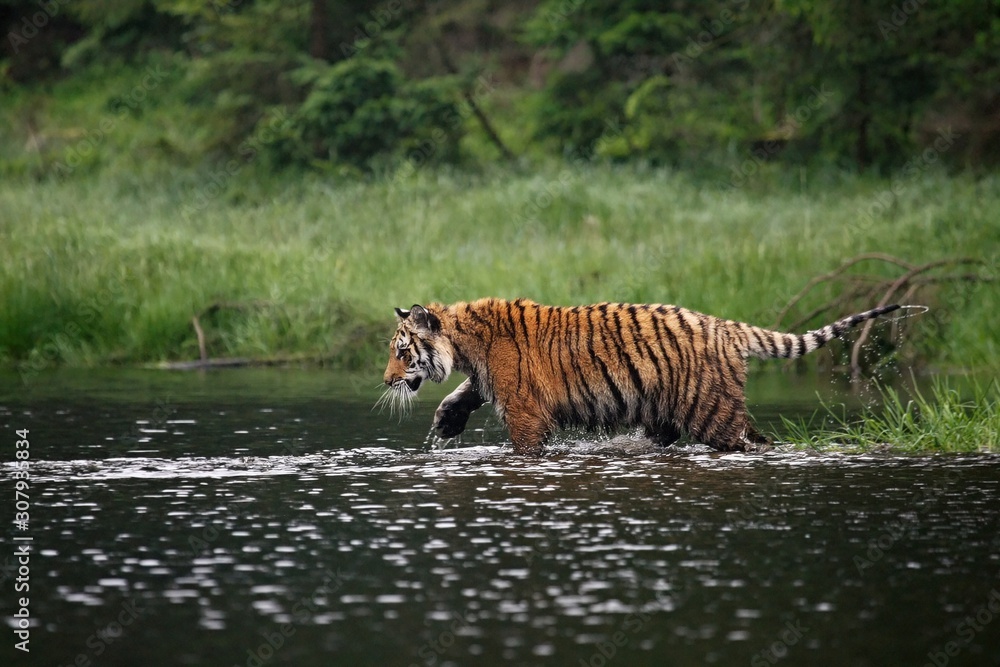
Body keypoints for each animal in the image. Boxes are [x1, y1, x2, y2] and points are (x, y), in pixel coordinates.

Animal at [381, 298, 906, 455]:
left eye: (402, 351)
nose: (386, 381)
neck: (464, 338)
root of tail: (724, 325)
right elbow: (467, 391)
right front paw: (446, 421)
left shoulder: (525, 410)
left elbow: (523, 443)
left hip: (714, 412)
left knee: (753, 441)